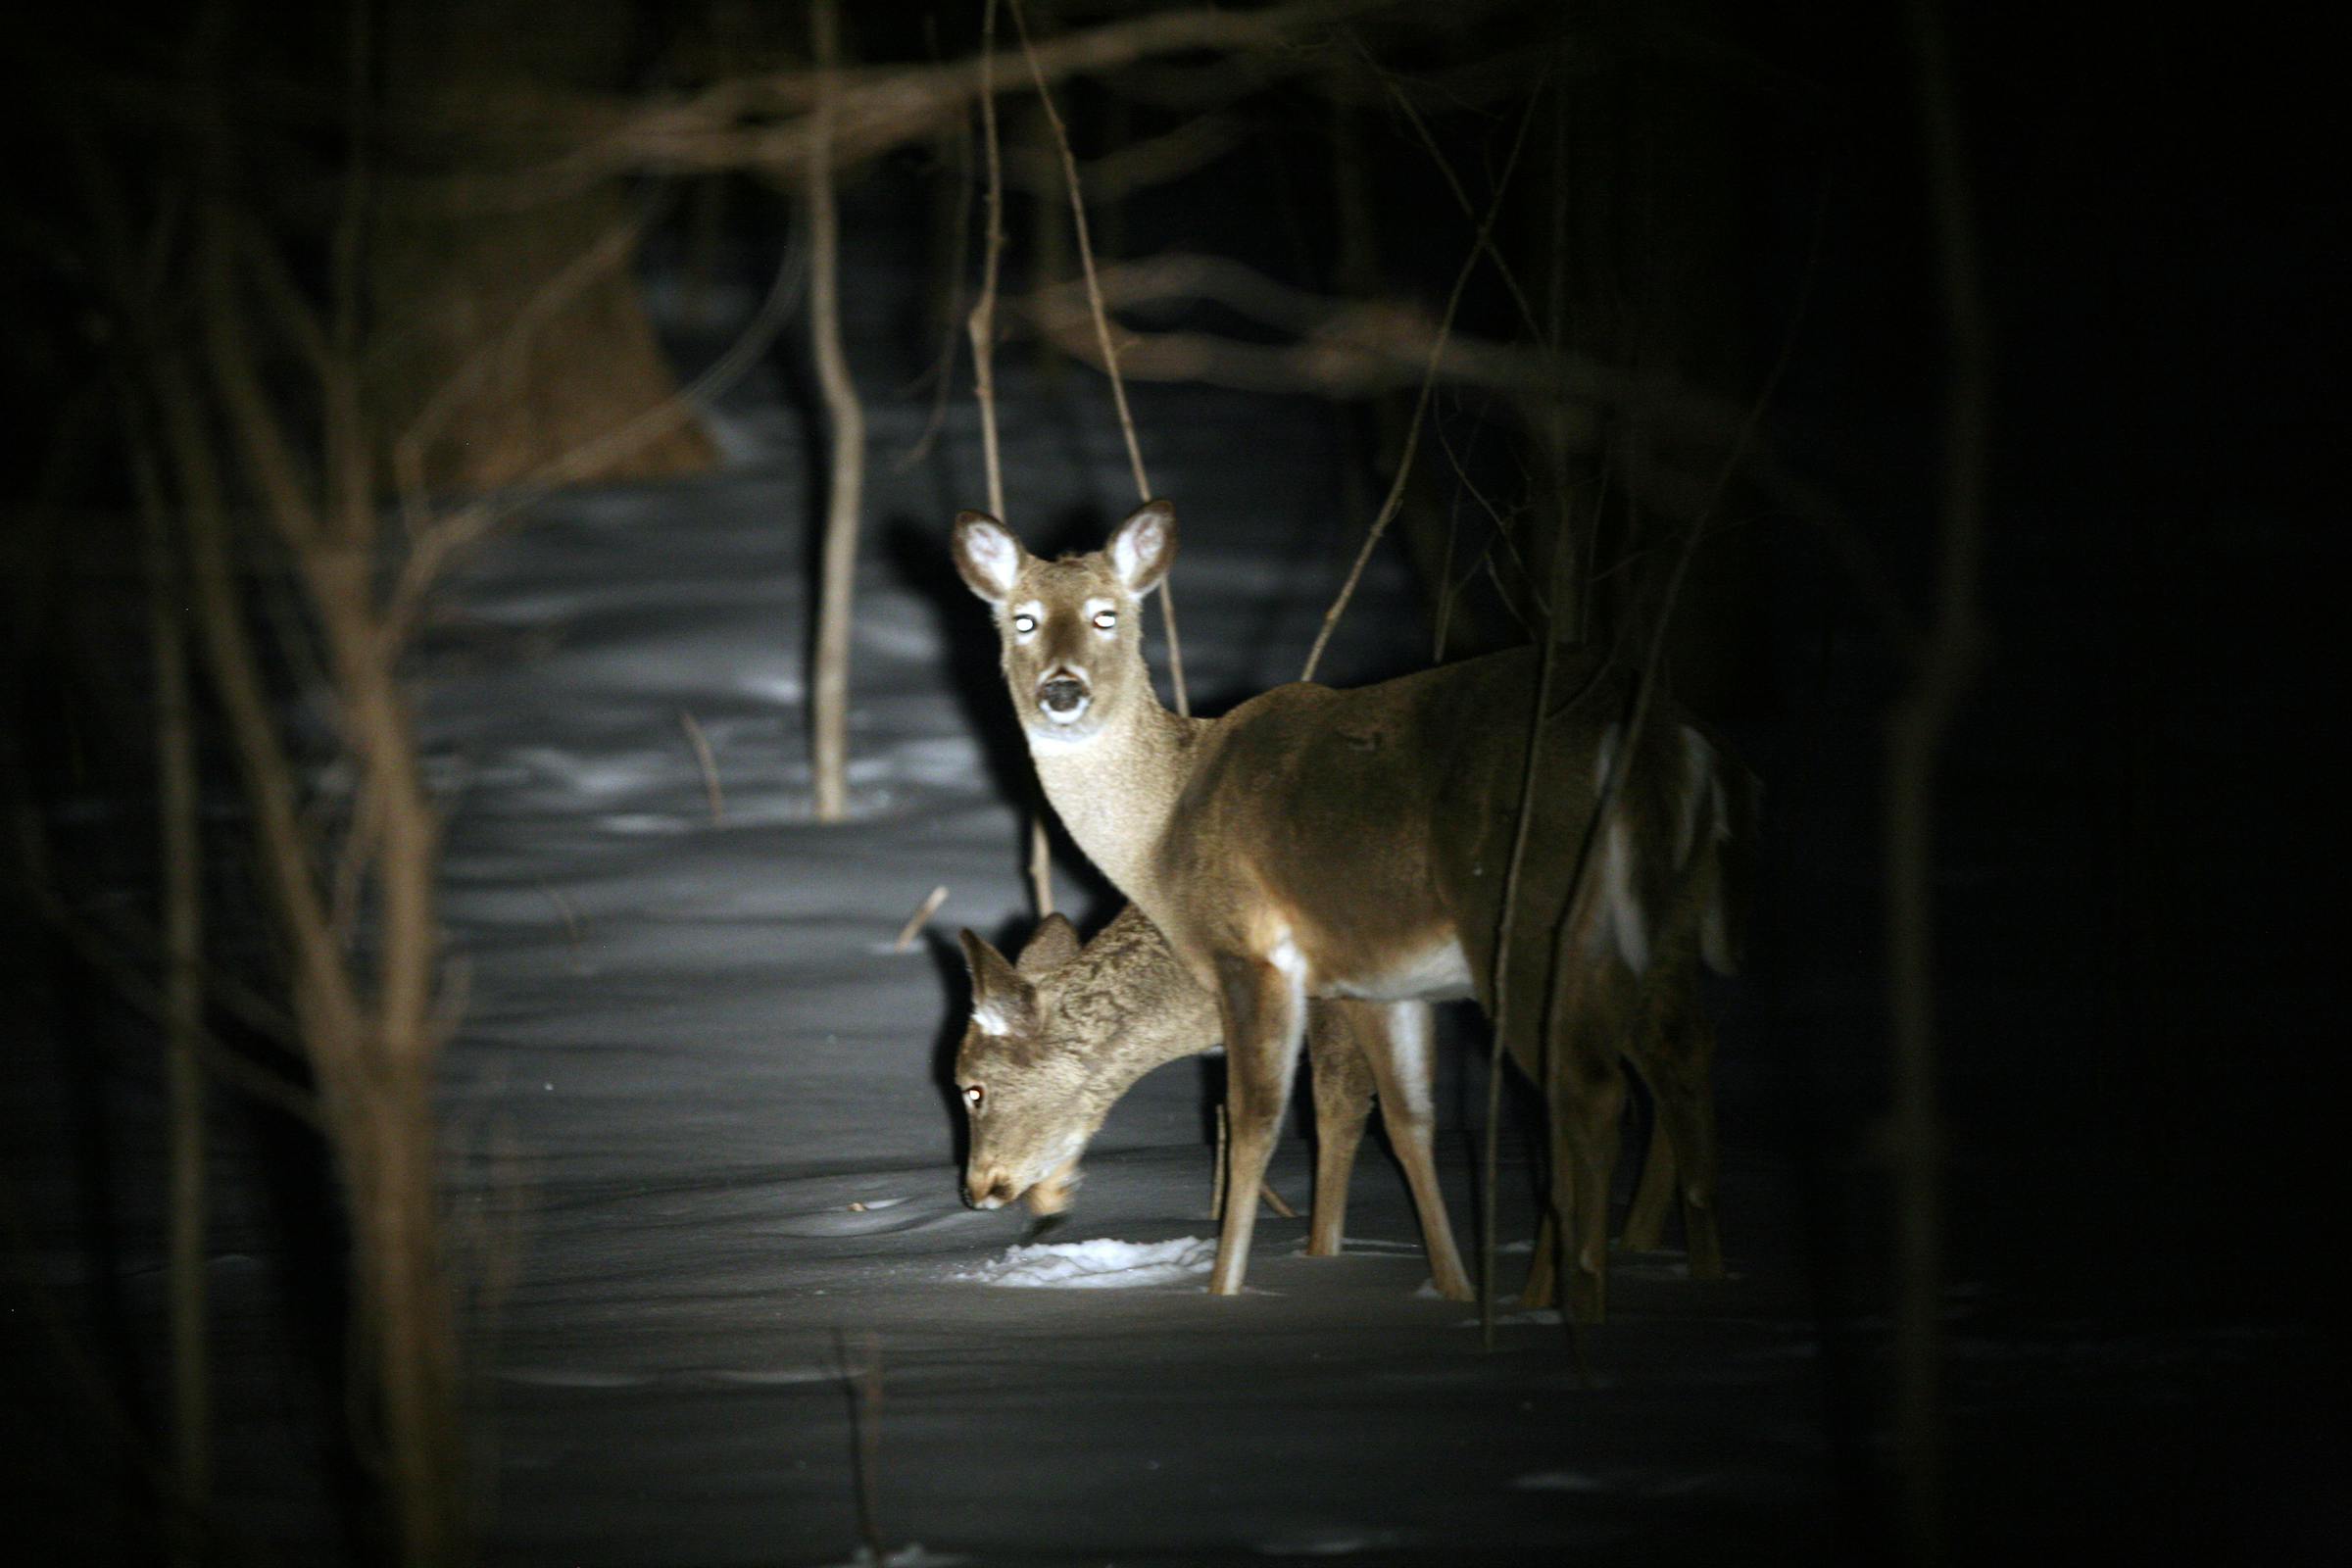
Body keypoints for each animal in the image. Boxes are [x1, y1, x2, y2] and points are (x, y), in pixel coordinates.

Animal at [952, 499, 1752, 1321]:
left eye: (1106, 615)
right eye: (1022, 620)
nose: (980, 1189)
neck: (1164, 830)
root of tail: (1674, 741)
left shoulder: (1264, 959)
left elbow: (1281, 1120)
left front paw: (1235, 1289)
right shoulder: (1374, 982)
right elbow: (1402, 1120)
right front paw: (1440, 1283)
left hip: (1534, 918)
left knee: (1591, 1089)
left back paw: (1578, 1299)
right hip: (1663, 926)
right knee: (1682, 1052)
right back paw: (1687, 1274)